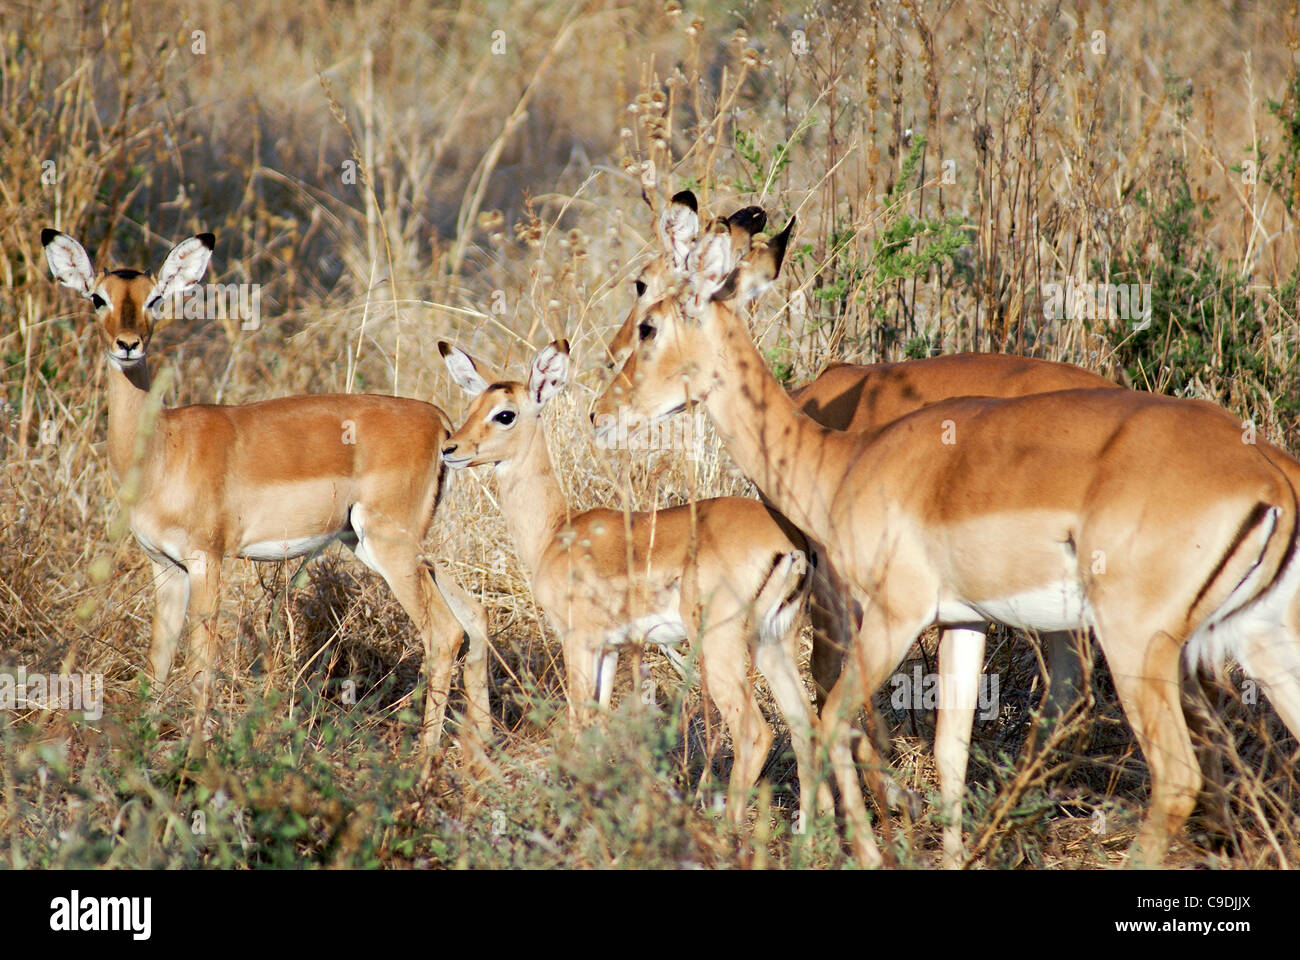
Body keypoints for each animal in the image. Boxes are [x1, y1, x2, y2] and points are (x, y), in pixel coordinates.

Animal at [41, 228, 489, 760]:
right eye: (98, 298)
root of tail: (438, 421)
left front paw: (193, 757)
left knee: (445, 633)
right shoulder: (164, 567)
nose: (127, 345)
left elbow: (201, 662)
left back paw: (421, 765)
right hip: (381, 546)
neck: (162, 448)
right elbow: (159, 658)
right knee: (476, 616)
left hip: (391, 547)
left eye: (154, 299)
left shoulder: (207, 559)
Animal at [439, 339, 832, 825]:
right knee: (806, 726)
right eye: (473, 404)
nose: (450, 448)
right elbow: (597, 725)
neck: (556, 532)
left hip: (722, 645)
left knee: (754, 733)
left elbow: (579, 724)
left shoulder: (579, 640)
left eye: (505, 413)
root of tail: (791, 543)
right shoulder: (610, 648)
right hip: (773, 640)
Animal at [592, 215, 1300, 867]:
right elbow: (949, 748)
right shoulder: (965, 621)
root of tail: (1269, 473)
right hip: (1256, 640)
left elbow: (834, 718)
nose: (600, 410)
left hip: (1135, 641)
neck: (842, 459)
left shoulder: (893, 614)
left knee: (1173, 773)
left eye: (649, 321)